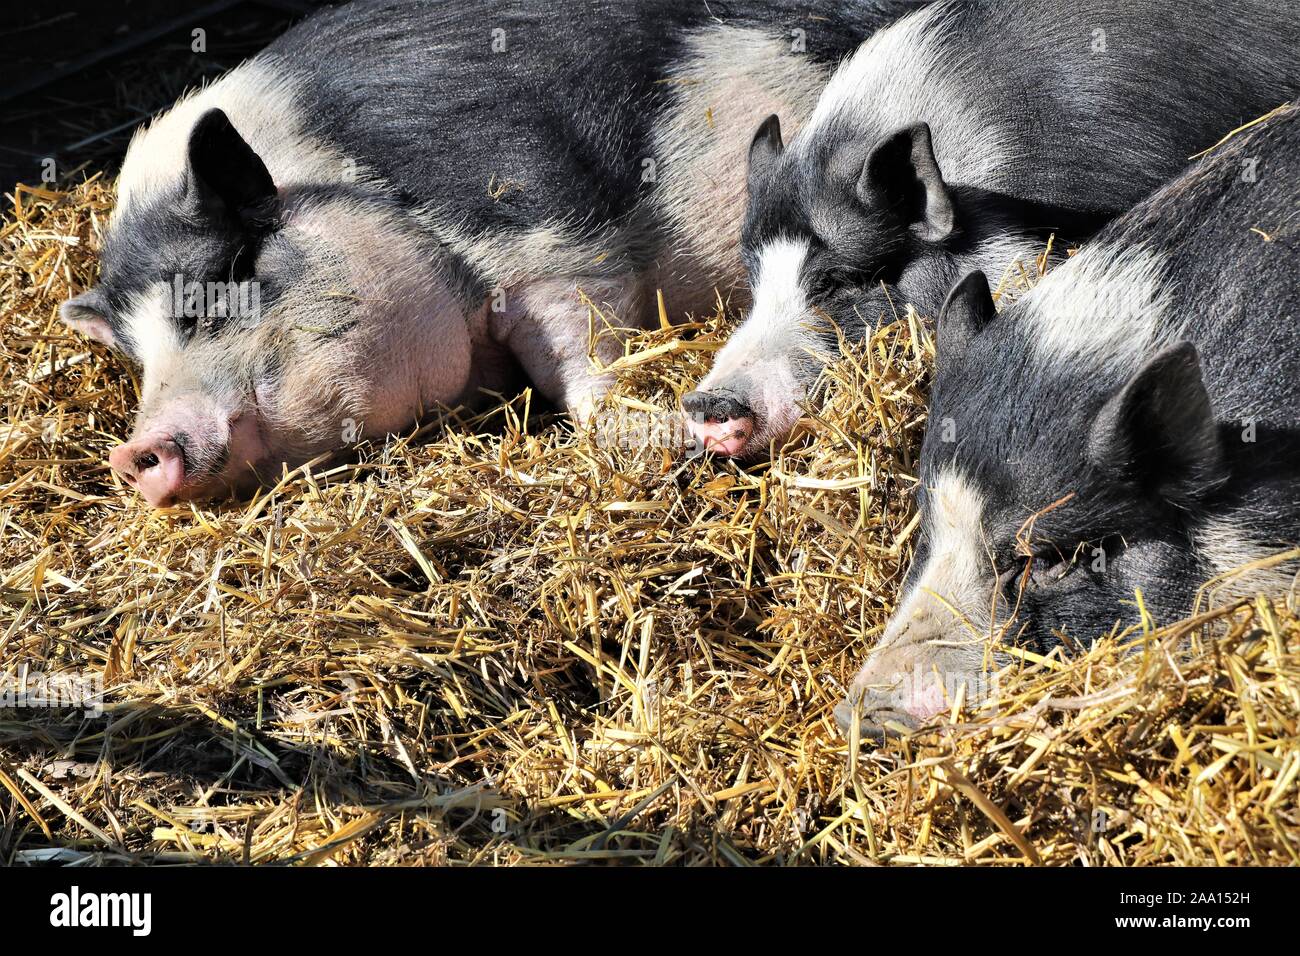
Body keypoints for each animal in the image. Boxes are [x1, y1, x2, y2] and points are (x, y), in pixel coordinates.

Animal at [59, 0, 920, 507]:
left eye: (221, 281)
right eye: (136, 355)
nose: (132, 452)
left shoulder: (543, 227)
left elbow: (581, 351)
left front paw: (652, 432)